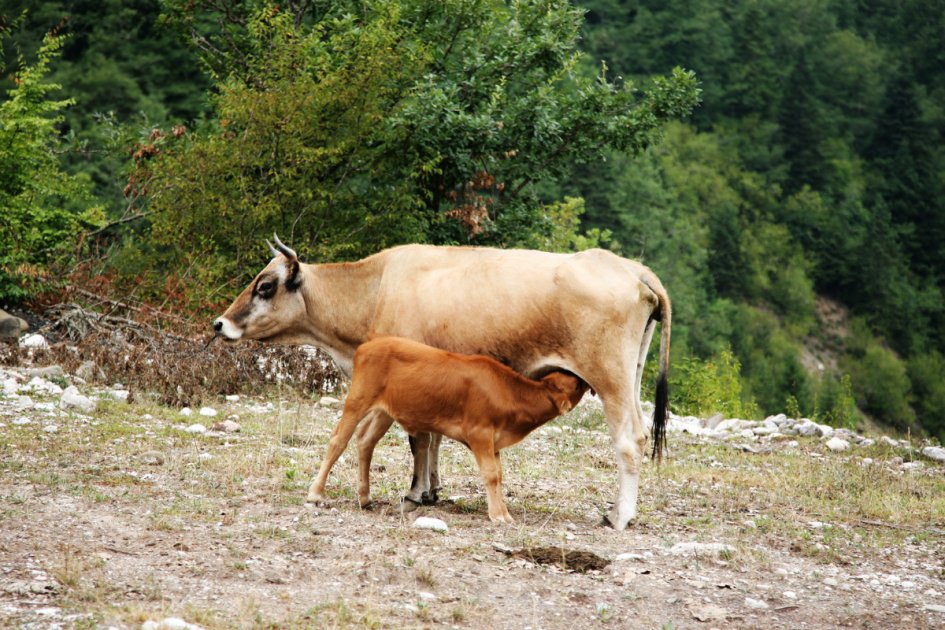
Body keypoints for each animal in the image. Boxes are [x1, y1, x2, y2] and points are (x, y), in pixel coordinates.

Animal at [308, 336, 591, 523]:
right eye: (576, 384)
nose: (584, 378)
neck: (509, 392)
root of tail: (369, 344)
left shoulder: (494, 441)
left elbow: (498, 475)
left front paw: (500, 510)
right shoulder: (480, 433)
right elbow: (491, 475)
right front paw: (499, 516)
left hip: (384, 412)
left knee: (366, 441)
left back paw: (365, 498)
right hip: (358, 400)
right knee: (338, 441)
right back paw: (315, 493)